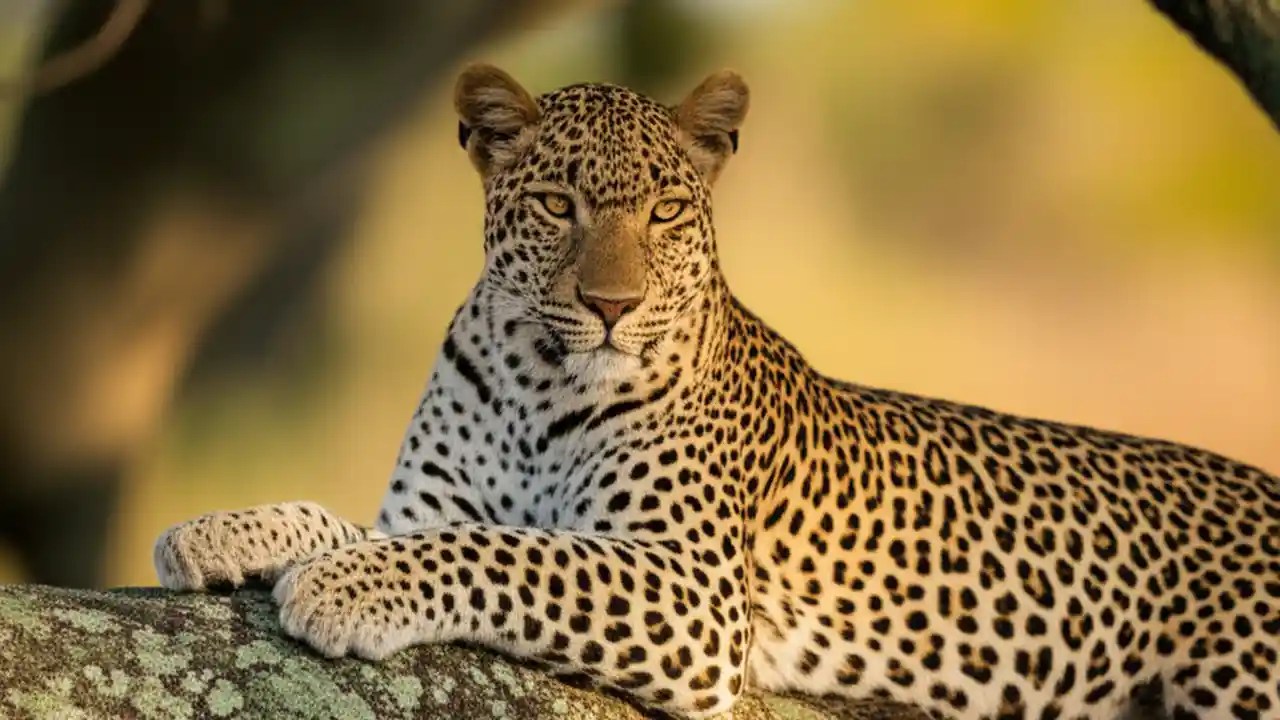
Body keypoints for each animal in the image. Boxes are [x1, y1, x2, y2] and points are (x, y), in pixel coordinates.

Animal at [154, 64, 1280, 720]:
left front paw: (344, 588)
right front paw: (217, 532)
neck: (534, 376)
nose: (611, 305)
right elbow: (367, 519)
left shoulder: (690, 588)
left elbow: (501, 551)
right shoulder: (430, 505)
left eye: (662, 212)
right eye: (556, 205)